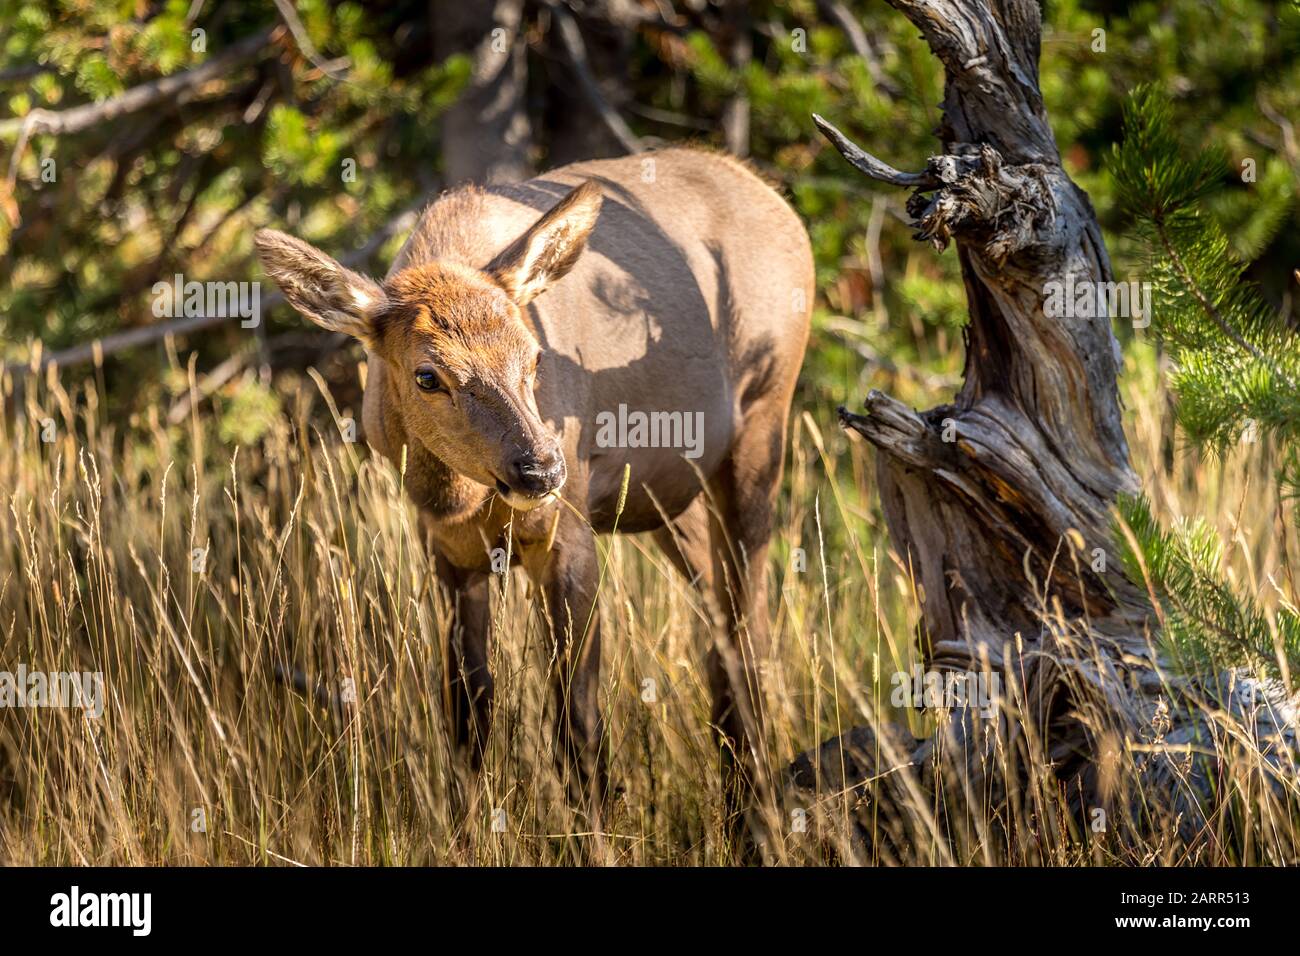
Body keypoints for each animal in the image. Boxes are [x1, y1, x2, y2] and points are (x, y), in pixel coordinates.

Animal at [255, 147, 813, 835]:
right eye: (427, 374)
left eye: (535, 357)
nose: (540, 469)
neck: (459, 498)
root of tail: (781, 205)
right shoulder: (447, 552)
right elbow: (467, 718)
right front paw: (464, 835)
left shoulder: (568, 533)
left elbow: (577, 726)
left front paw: (595, 839)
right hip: (667, 498)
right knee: (722, 632)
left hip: (765, 415)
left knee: (751, 624)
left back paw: (760, 815)